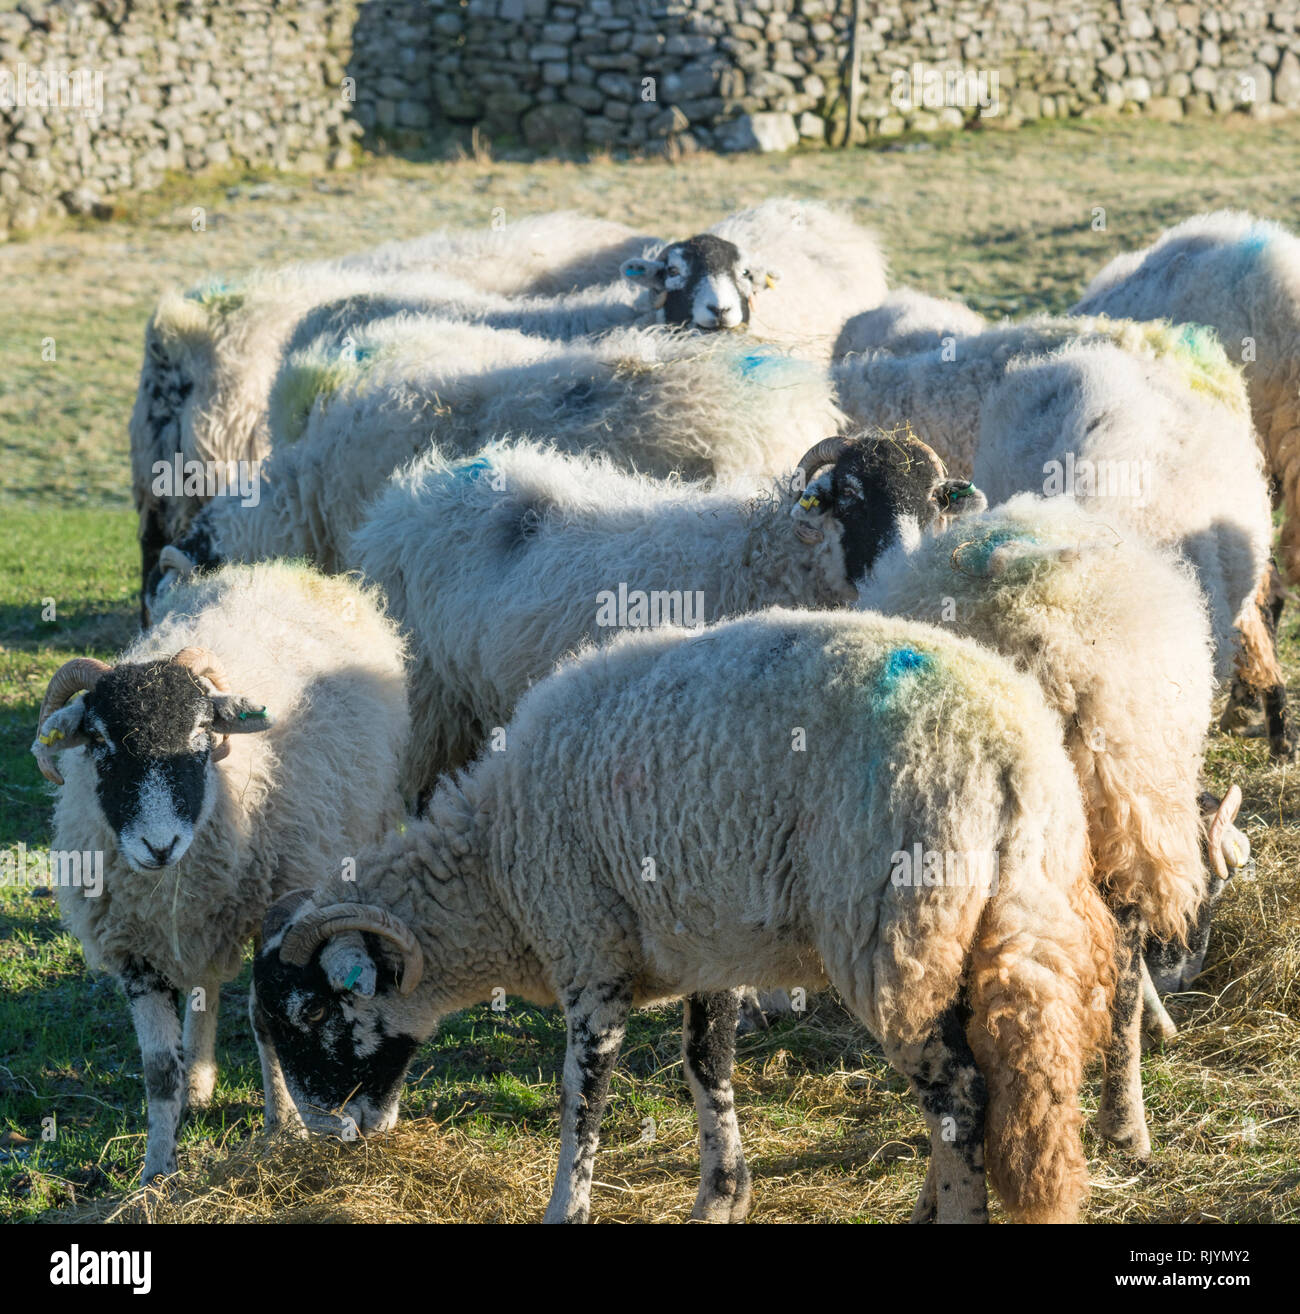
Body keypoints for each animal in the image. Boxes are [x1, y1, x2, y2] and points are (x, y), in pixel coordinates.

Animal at [30, 562, 409, 1184]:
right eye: (100, 741)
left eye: (202, 736)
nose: (159, 845)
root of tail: (292, 570)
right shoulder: (134, 945)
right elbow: (158, 1069)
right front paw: (156, 1172)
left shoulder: (274, 918)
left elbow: (266, 1023)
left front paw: (284, 1130)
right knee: (204, 983)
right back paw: (199, 1082)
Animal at [252, 606, 1115, 1224]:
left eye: (312, 1014)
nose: (332, 1135)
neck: (497, 869)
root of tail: (1010, 753)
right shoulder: (711, 948)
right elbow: (707, 1063)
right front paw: (722, 1197)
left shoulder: (590, 953)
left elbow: (583, 1098)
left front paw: (568, 1208)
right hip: (996, 921)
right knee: (976, 1090)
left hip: (895, 931)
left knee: (958, 1094)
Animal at [346, 431, 974, 798]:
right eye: (847, 495)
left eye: (933, 499)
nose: (902, 566)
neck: (762, 553)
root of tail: (414, 487)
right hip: (431, 698)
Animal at [813, 487, 1252, 1157]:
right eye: (1218, 886)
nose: (1185, 975)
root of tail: (1035, 625)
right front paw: (1160, 1019)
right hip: (1113, 782)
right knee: (1122, 945)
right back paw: (1125, 1123)